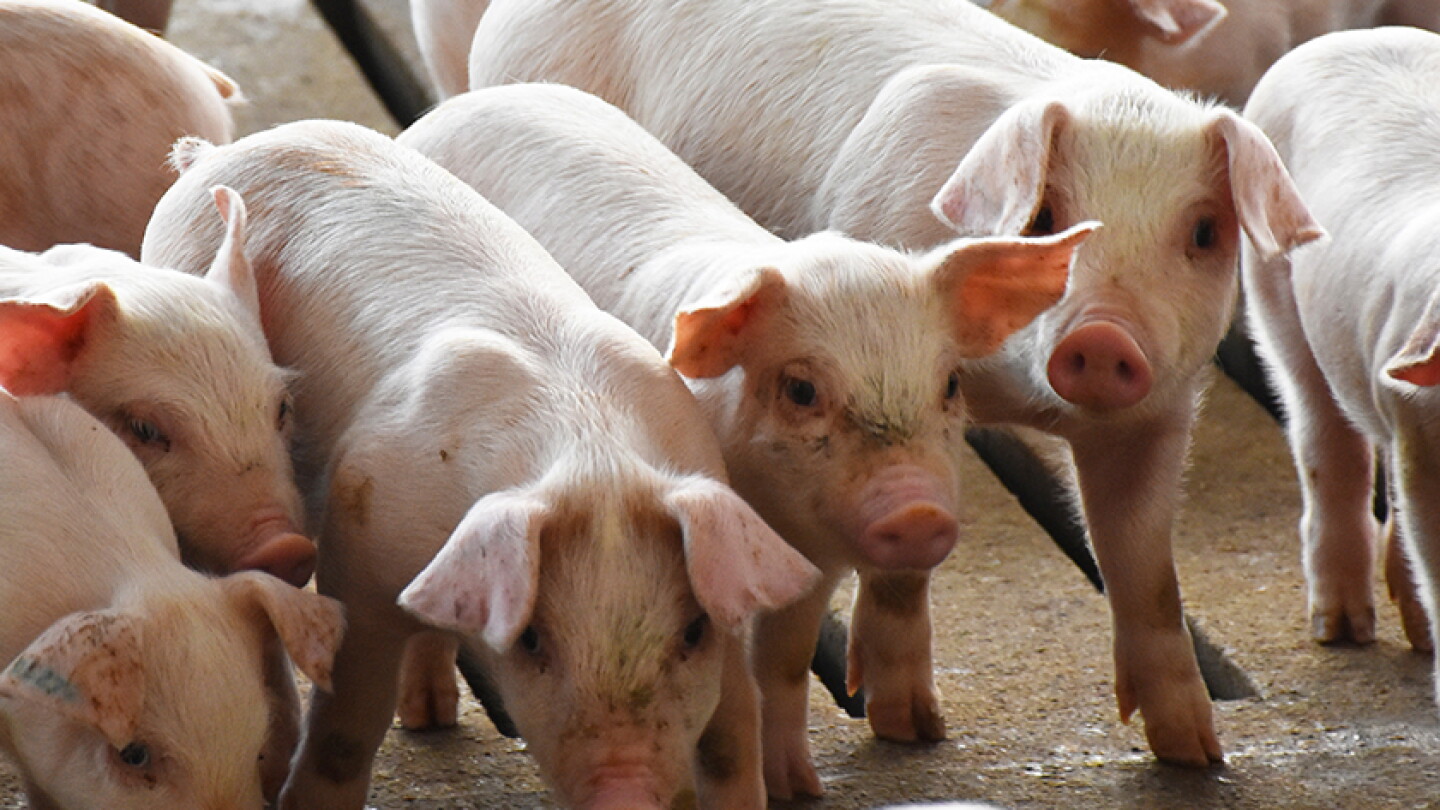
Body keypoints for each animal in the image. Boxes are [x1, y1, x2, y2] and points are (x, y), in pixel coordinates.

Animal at [140, 120, 821, 810]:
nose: (623, 794)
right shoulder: (359, 546)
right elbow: (345, 729)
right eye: (533, 638)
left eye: (690, 633)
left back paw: (433, 715)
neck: (592, 459)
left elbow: (733, 733)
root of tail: (217, 153)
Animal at [397, 82, 1093, 799]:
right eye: (801, 389)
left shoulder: (805, 560)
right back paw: (425, 722)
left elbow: (783, 665)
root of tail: (474, 100)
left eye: (951, 383)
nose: (919, 511)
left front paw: (802, 789)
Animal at [453, 0, 1325, 772]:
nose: (1103, 339)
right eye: (1045, 217)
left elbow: (1148, 573)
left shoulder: (1156, 412)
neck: (1016, 399)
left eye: (1204, 232)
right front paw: (914, 731)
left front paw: (1197, 756)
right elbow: (906, 575)